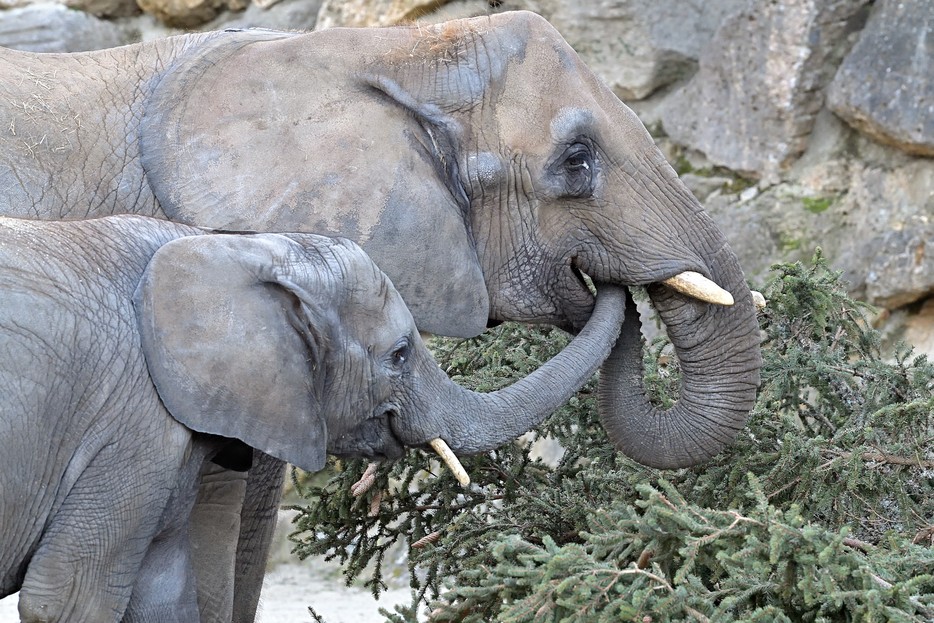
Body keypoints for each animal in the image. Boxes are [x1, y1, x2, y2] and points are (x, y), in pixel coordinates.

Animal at [0, 214, 626, 622]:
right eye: (400, 354)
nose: (592, 270)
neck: (229, 247)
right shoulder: (133, 425)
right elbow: (69, 601)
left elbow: (165, 593)